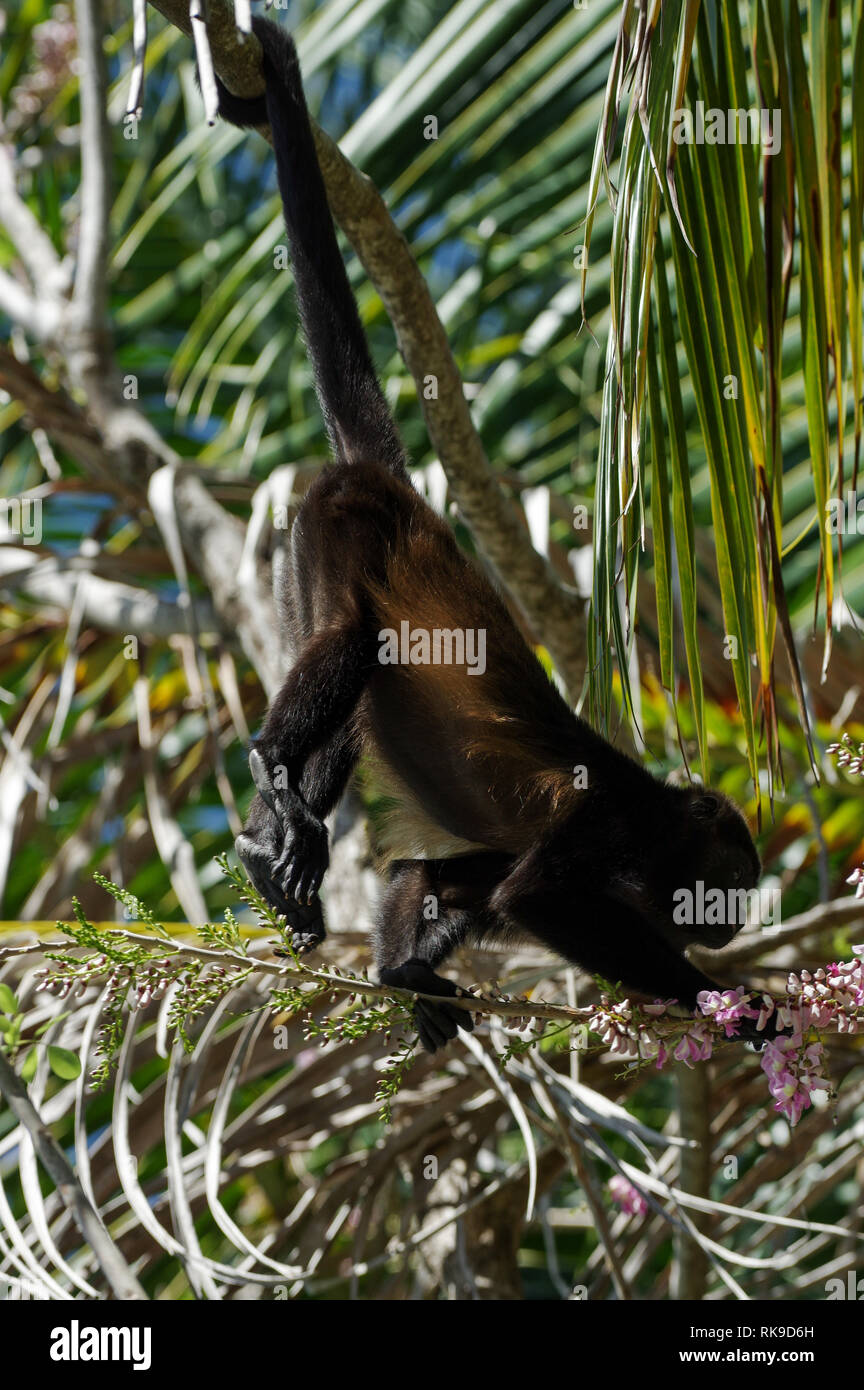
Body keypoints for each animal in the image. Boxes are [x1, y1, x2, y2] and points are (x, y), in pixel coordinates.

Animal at [214, 17, 769, 1054]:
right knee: (353, 640)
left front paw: (406, 968)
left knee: (355, 688)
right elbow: (534, 898)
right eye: (733, 881)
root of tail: (386, 479)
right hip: (339, 527)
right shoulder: (607, 827)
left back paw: (278, 849)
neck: (655, 816)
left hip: (298, 555)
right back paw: (275, 775)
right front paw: (744, 1012)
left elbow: (429, 877)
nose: (736, 921)